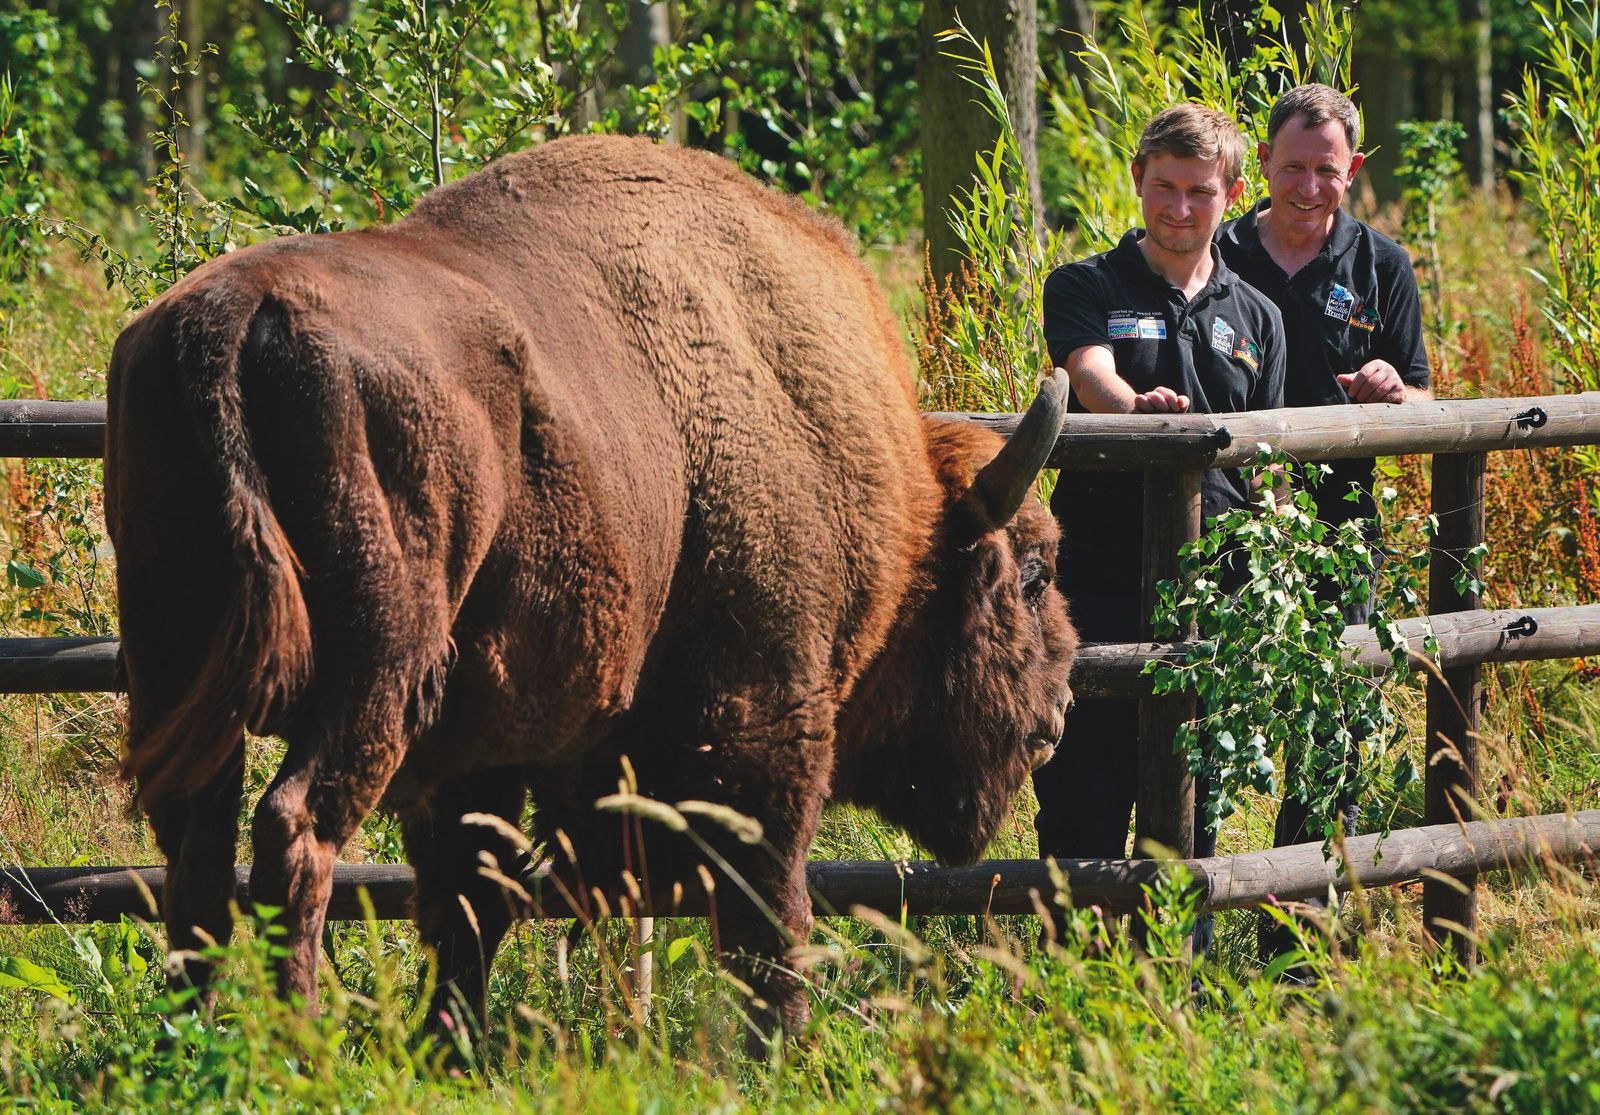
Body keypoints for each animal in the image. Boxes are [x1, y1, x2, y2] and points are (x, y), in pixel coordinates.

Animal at [105, 135, 1076, 1044]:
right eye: (1032, 576)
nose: (1057, 714)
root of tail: (233, 318)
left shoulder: (484, 753)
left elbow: (471, 899)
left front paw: (452, 1045)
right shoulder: (767, 716)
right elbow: (769, 905)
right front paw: (788, 1046)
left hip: (174, 656)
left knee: (196, 845)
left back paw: (194, 1040)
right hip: (379, 666)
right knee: (296, 829)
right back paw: (301, 1044)